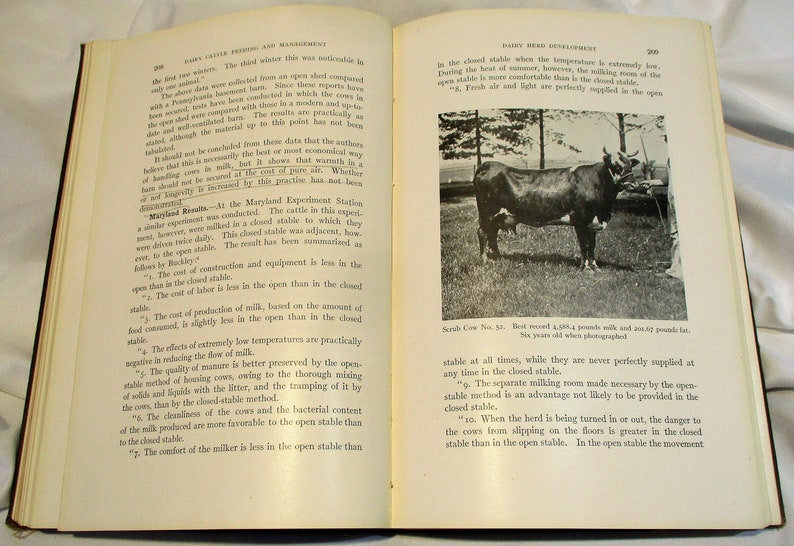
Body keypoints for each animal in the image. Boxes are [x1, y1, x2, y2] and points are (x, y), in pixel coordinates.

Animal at [473, 147, 640, 270]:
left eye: (631, 165)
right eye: (616, 166)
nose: (633, 185)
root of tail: (490, 165)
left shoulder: (593, 221)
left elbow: (592, 244)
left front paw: (595, 266)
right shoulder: (580, 219)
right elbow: (584, 244)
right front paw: (585, 267)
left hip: (498, 216)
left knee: (492, 235)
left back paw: (498, 258)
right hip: (487, 213)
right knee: (482, 233)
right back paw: (485, 260)